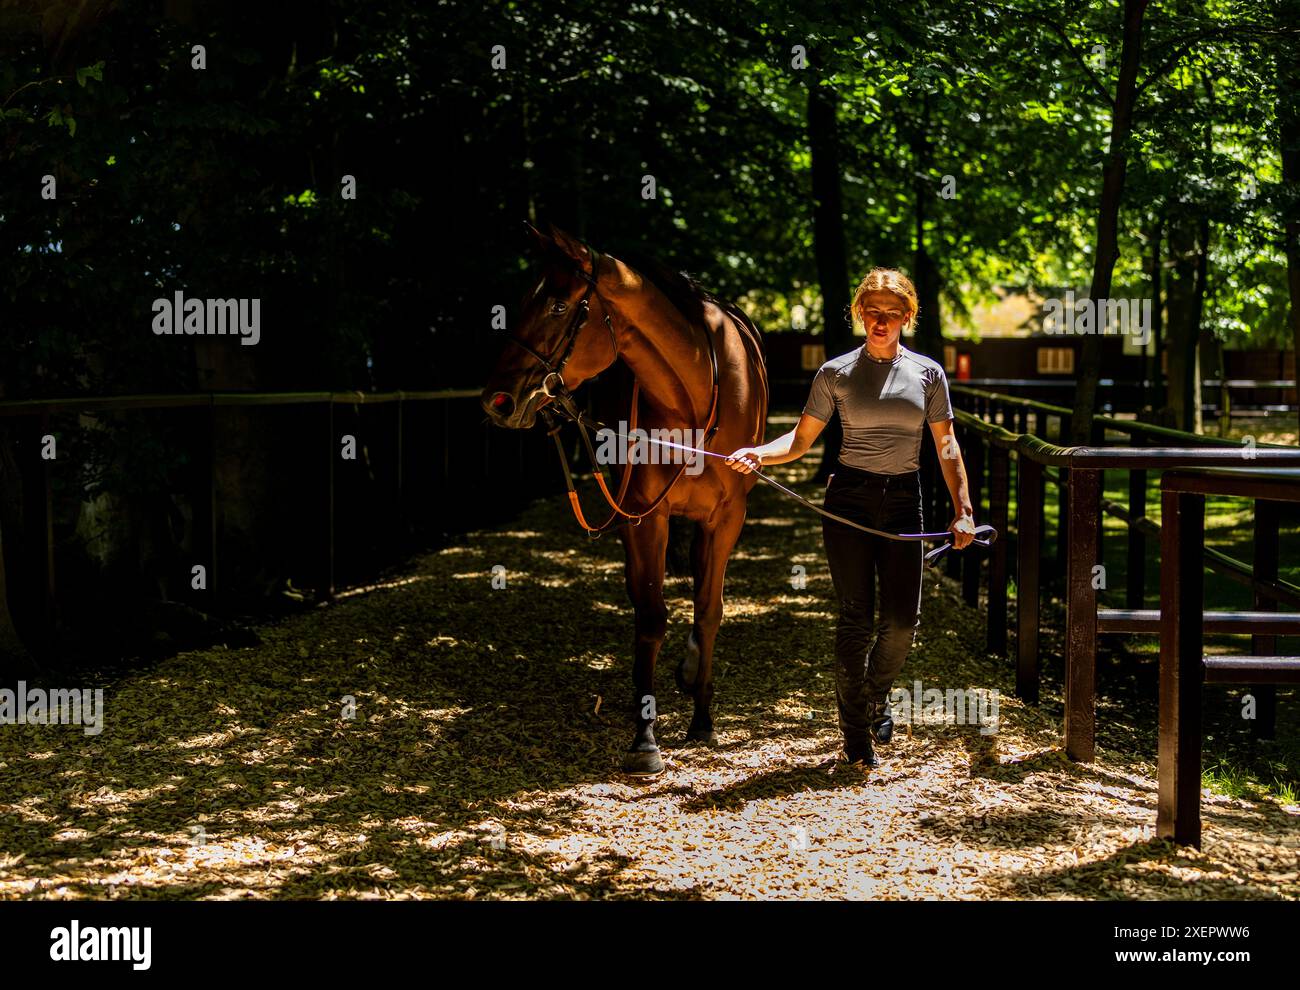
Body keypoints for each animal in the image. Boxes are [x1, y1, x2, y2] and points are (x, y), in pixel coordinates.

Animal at [480, 222, 769, 775]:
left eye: (556, 306)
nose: (496, 400)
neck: (694, 397)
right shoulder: (642, 516)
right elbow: (651, 615)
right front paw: (645, 735)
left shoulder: (727, 517)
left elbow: (709, 610)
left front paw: (702, 717)